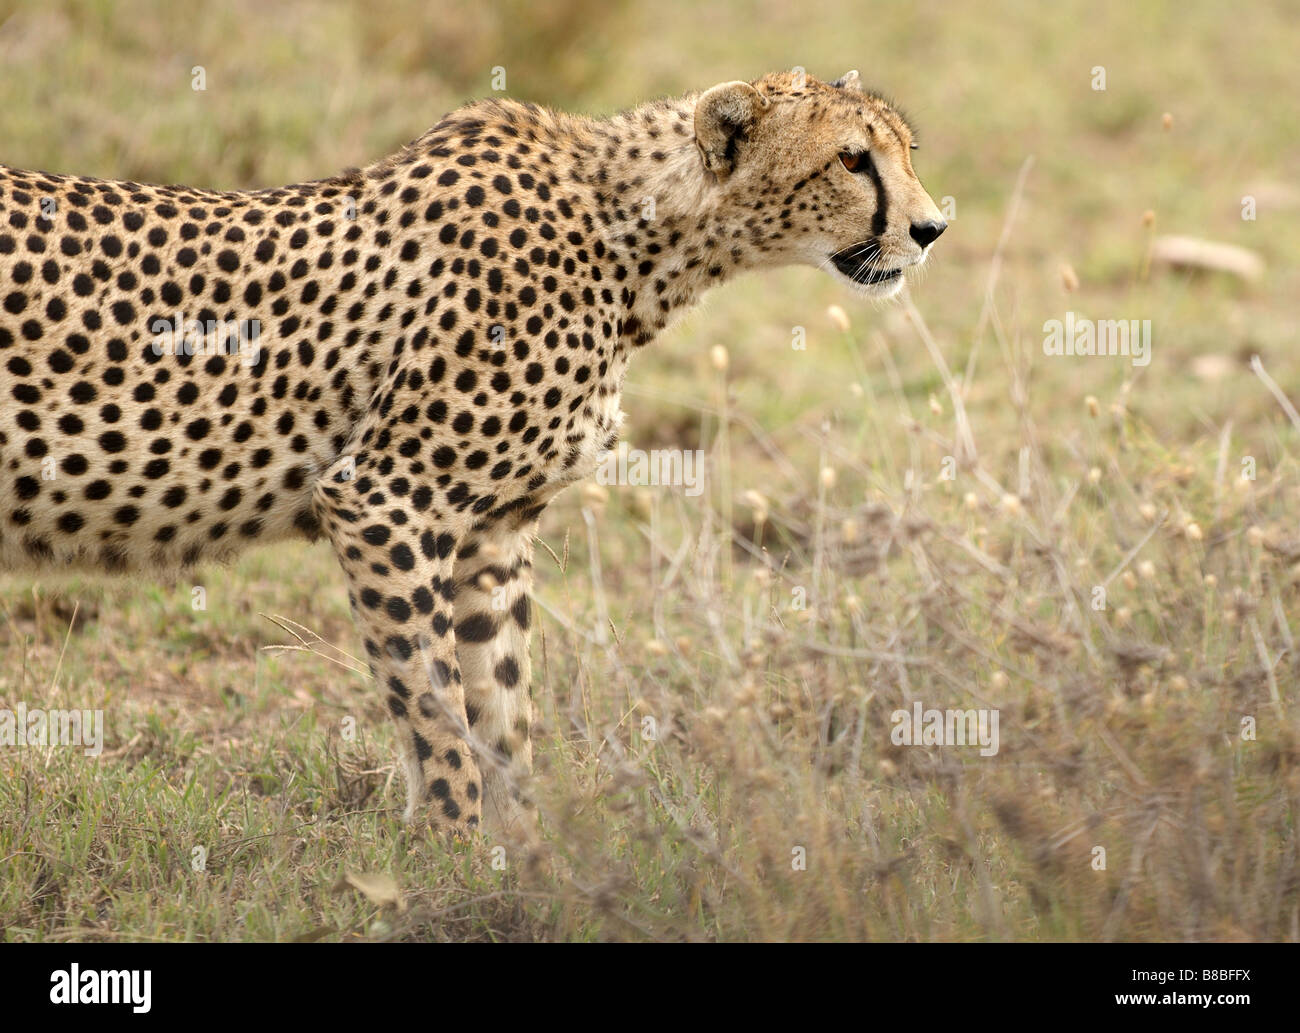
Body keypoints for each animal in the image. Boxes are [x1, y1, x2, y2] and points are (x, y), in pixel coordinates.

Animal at [0, 69, 946, 839]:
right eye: (852, 160)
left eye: (904, 150)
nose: (934, 228)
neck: (632, 238)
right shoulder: (383, 498)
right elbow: (435, 706)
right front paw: (451, 849)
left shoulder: (494, 530)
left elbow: (502, 701)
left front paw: (523, 853)